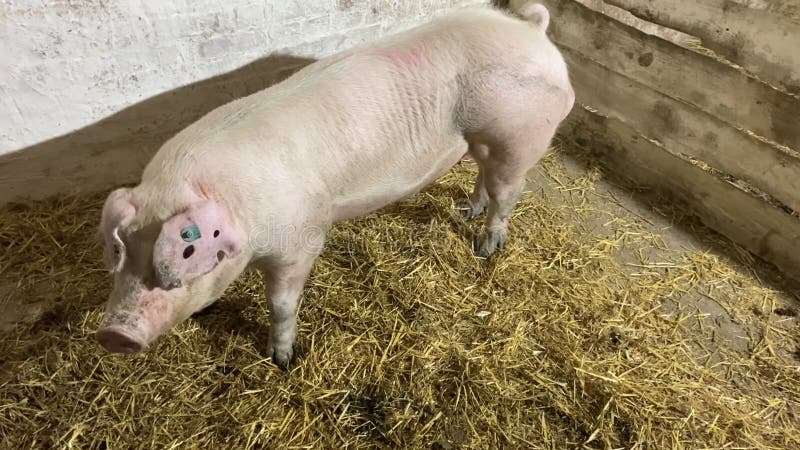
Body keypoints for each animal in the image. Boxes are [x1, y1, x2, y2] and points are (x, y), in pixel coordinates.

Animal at [96, 1, 575, 367]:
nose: (113, 334)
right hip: (486, 141)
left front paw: (281, 360)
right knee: (484, 178)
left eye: (182, 254)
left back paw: (486, 247)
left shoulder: (301, 241)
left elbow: (281, 305)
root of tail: (533, 32)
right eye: (121, 251)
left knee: (507, 194)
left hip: (518, 136)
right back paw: (466, 209)